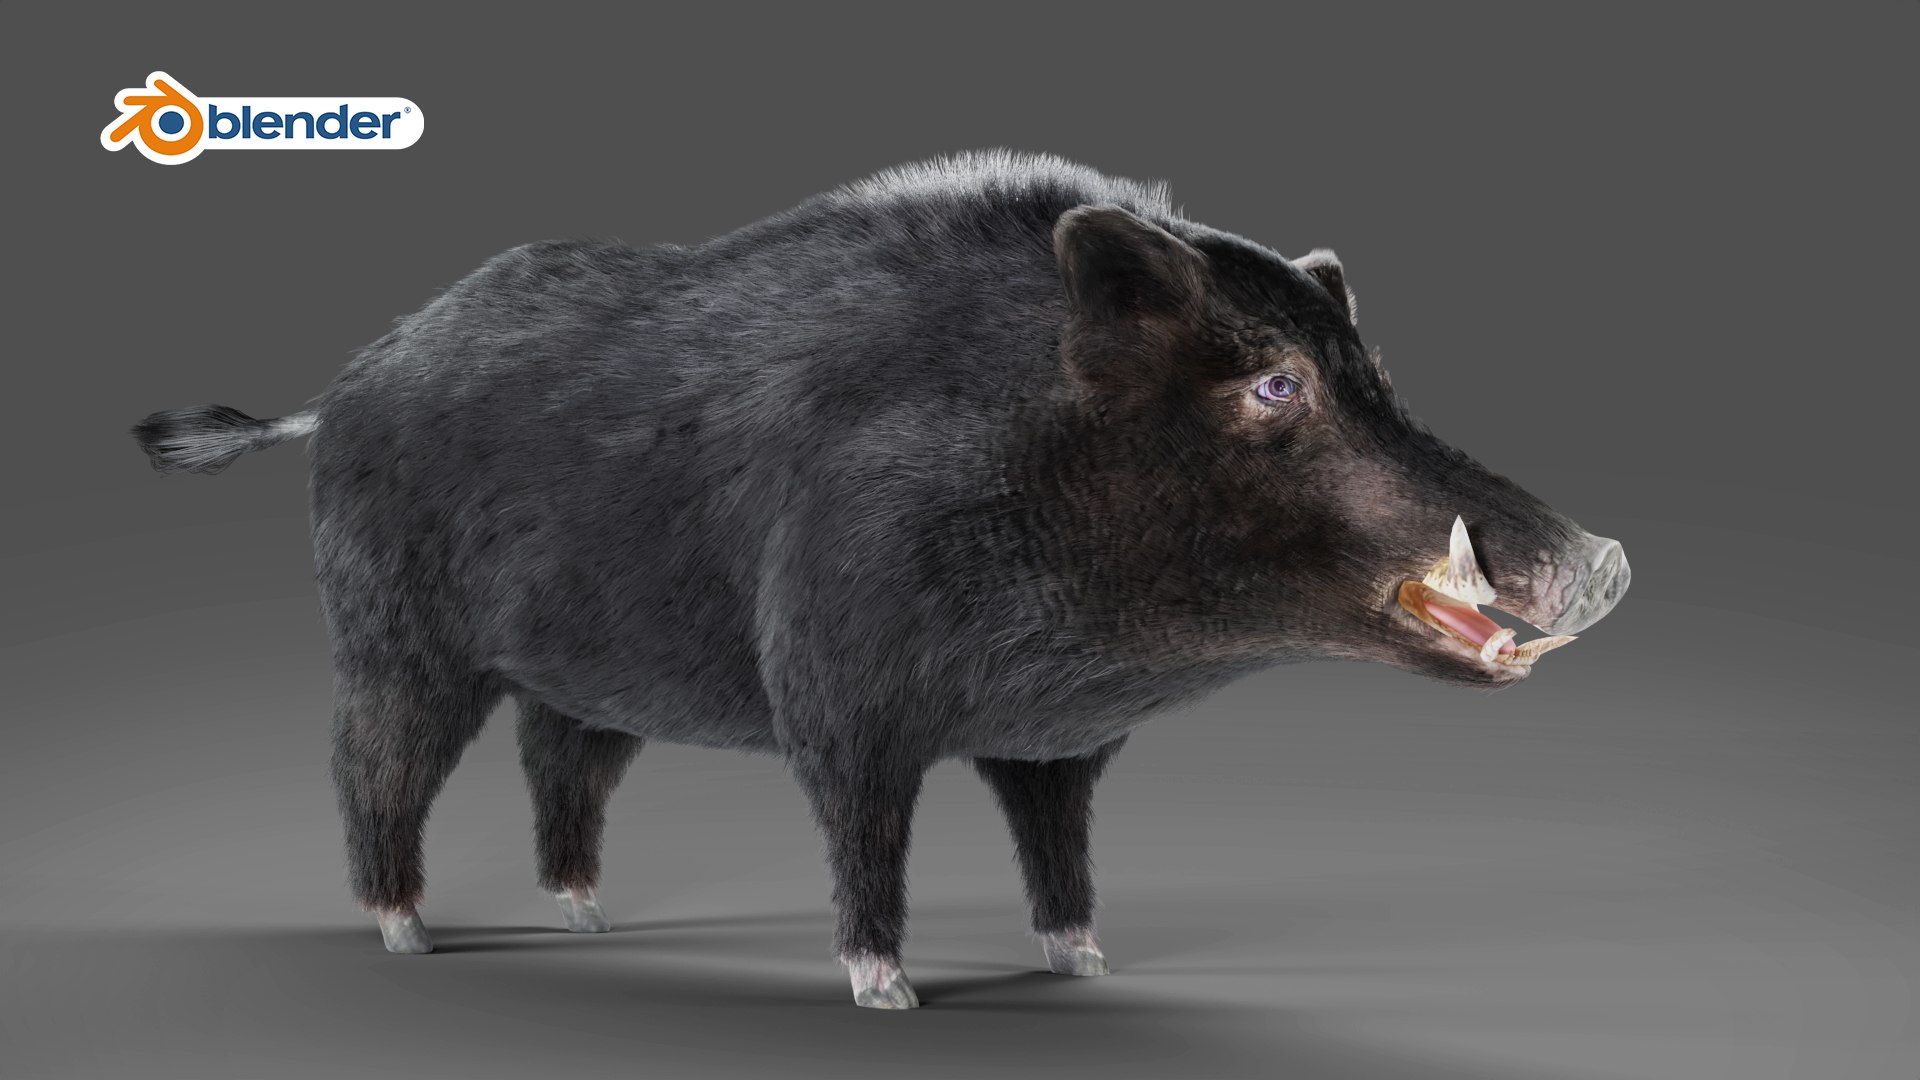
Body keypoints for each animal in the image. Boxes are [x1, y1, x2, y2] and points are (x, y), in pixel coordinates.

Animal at [132, 151, 1628, 1009]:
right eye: (1274, 384)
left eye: (1376, 373)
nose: (1608, 558)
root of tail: (341, 388)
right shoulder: (838, 691)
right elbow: (865, 832)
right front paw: (886, 995)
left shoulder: (1056, 745)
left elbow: (1060, 851)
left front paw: (1085, 966)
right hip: (395, 635)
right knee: (369, 763)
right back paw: (407, 940)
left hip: (582, 672)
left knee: (564, 760)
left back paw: (585, 919)